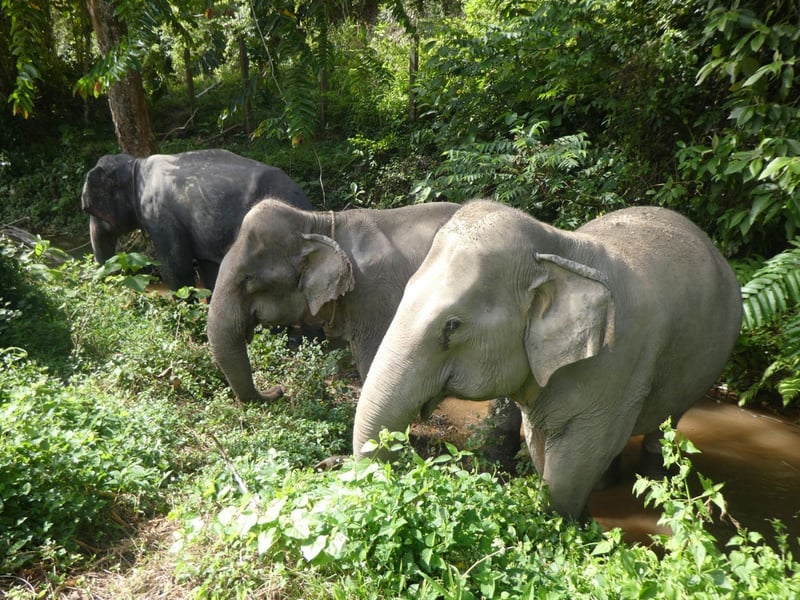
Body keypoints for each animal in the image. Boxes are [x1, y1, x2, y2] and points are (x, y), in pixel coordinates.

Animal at [353, 200, 743, 520]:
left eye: (452, 326)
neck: (558, 249)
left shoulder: (616, 362)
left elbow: (576, 459)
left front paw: (574, 525)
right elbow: (540, 442)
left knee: (664, 426)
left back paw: (654, 478)